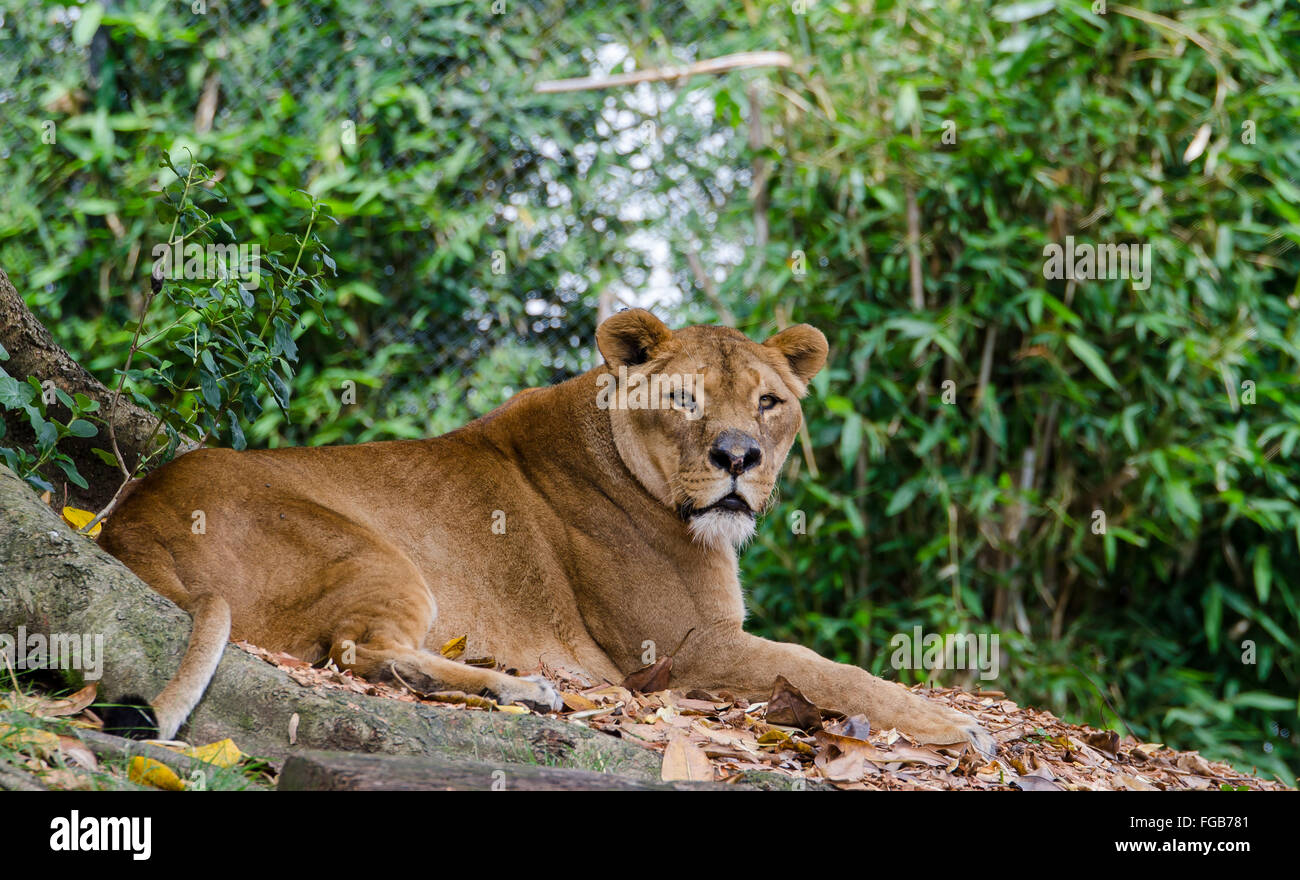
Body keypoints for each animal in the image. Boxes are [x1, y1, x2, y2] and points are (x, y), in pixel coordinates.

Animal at [100, 309, 994, 756]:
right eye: (684, 399)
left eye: (769, 402)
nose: (738, 456)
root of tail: (131, 517)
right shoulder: (680, 653)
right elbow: (827, 670)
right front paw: (960, 727)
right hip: (378, 550)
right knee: (360, 652)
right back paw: (524, 689)